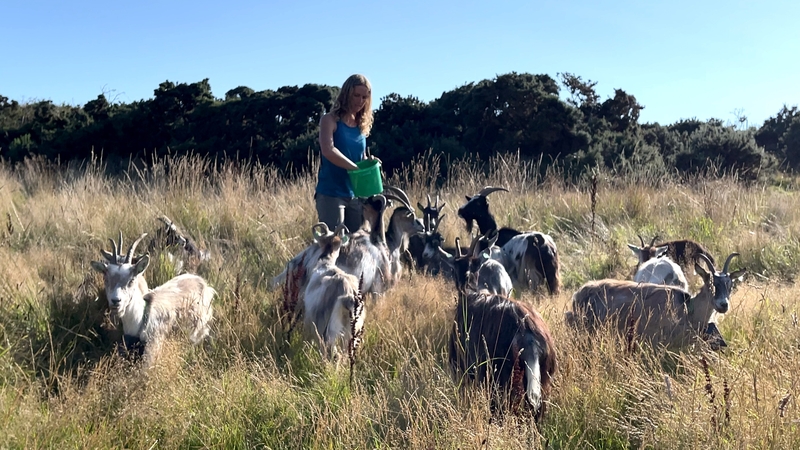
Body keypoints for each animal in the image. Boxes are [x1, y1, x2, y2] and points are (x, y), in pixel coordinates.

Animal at [91, 232, 215, 368]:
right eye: (105, 278)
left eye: (132, 279)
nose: (116, 301)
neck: (140, 320)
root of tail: (201, 281)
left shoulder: (153, 347)